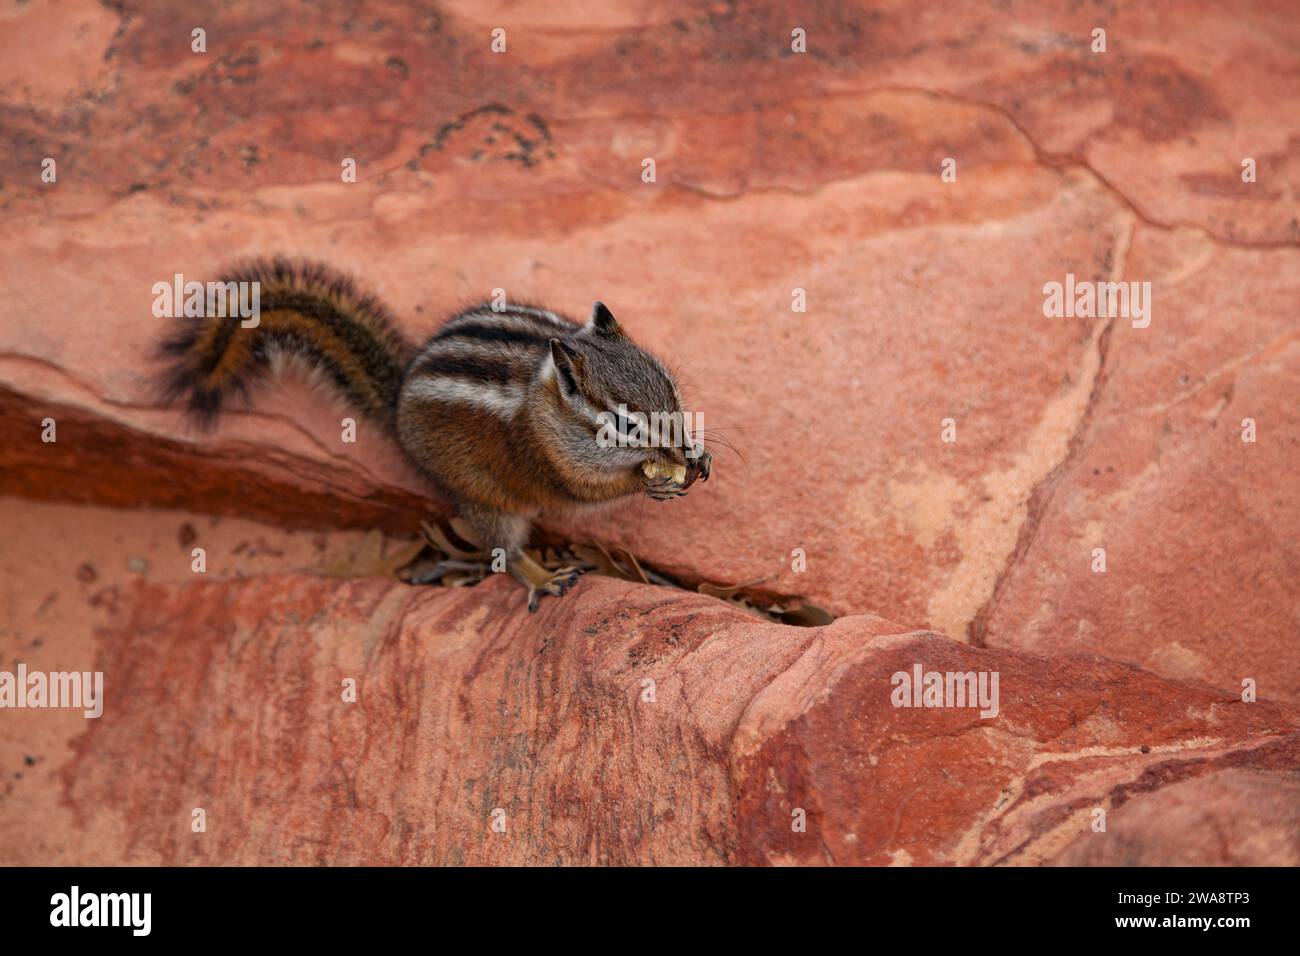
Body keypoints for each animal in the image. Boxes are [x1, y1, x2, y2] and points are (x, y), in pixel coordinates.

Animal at [157, 258, 711, 611]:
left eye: (669, 383)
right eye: (625, 424)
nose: (680, 448)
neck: (548, 399)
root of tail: (398, 404)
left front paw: (700, 455)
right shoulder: (550, 459)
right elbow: (583, 491)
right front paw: (649, 483)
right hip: (487, 502)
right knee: (506, 552)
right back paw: (544, 578)